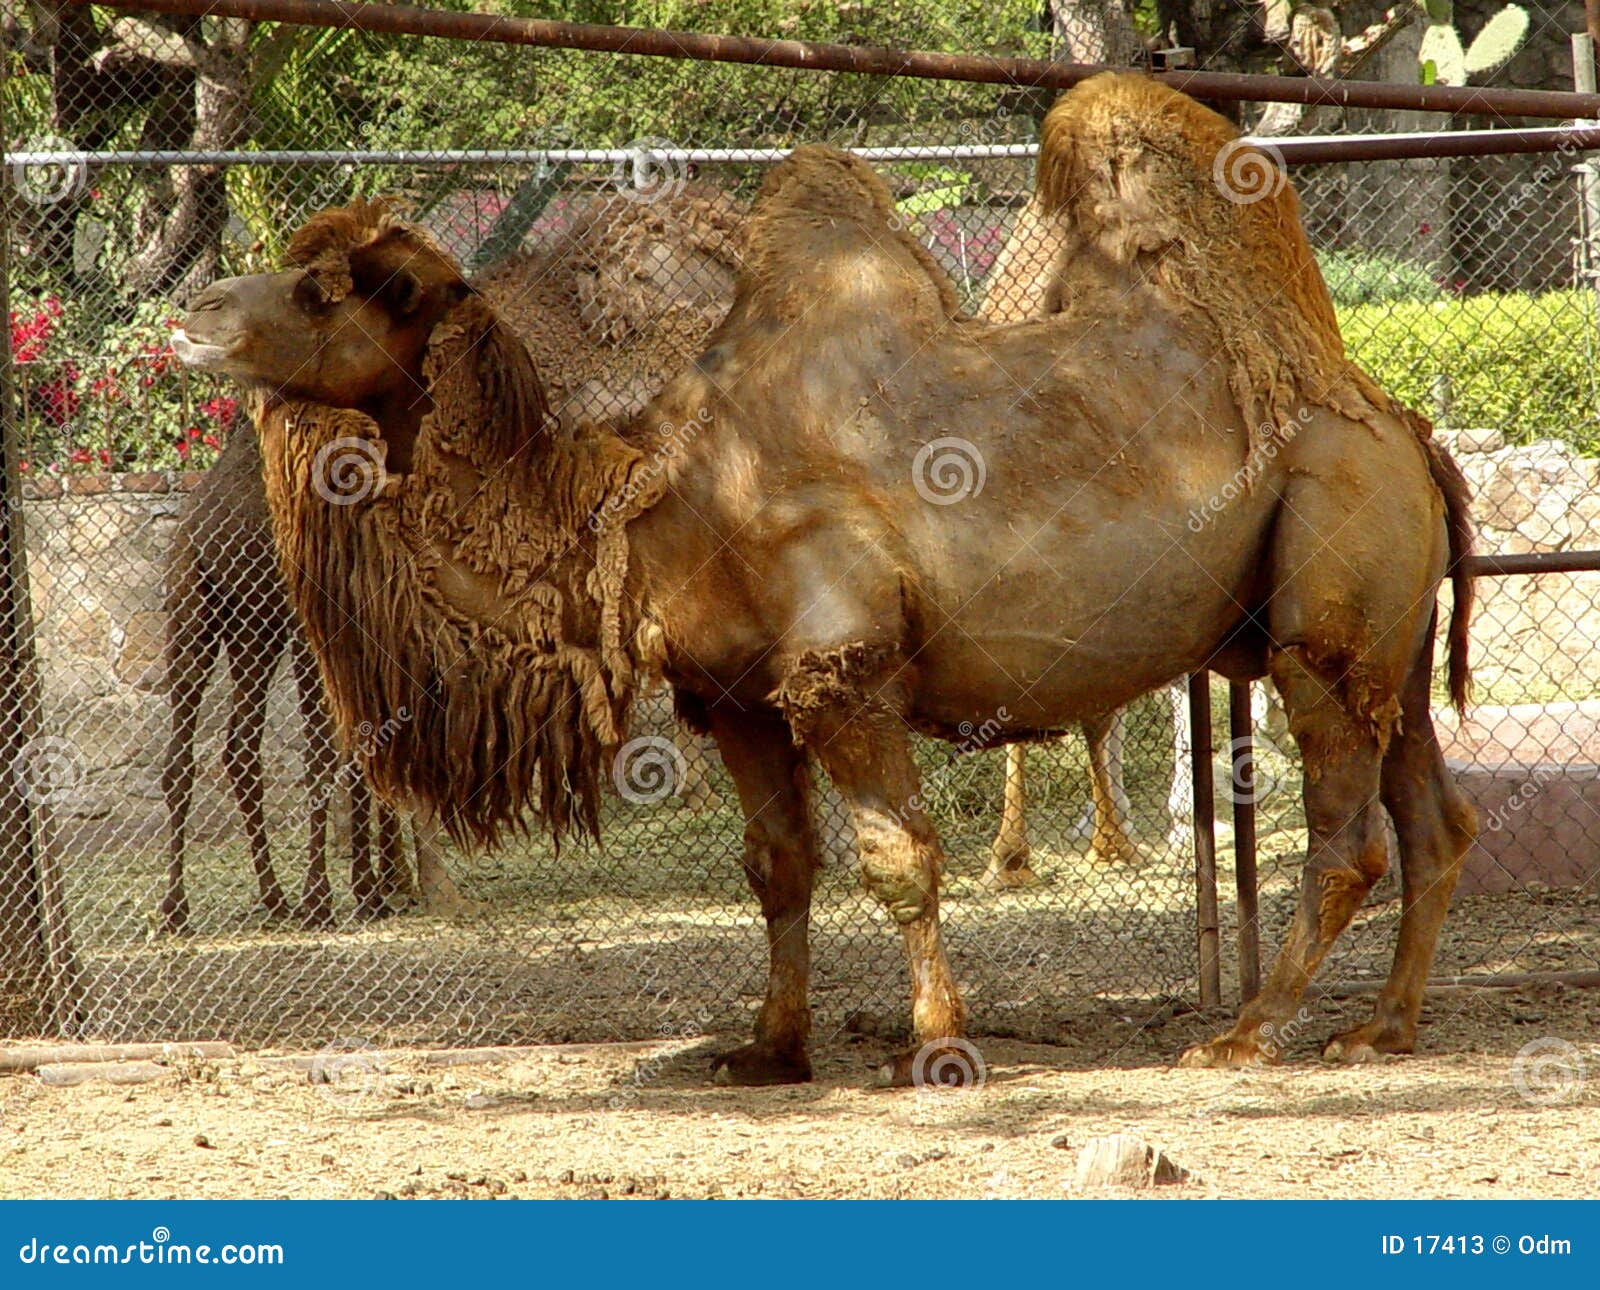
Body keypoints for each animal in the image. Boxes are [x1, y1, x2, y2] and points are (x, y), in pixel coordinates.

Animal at [160, 422, 468, 931]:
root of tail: (196, 513)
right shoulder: (316, 638)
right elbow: (324, 755)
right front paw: (323, 899)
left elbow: (364, 749)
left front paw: (371, 892)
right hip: (193, 603)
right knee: (179, 756)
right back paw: (176, 910)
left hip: (255, 631)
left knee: (239, 746)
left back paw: (274, 898)